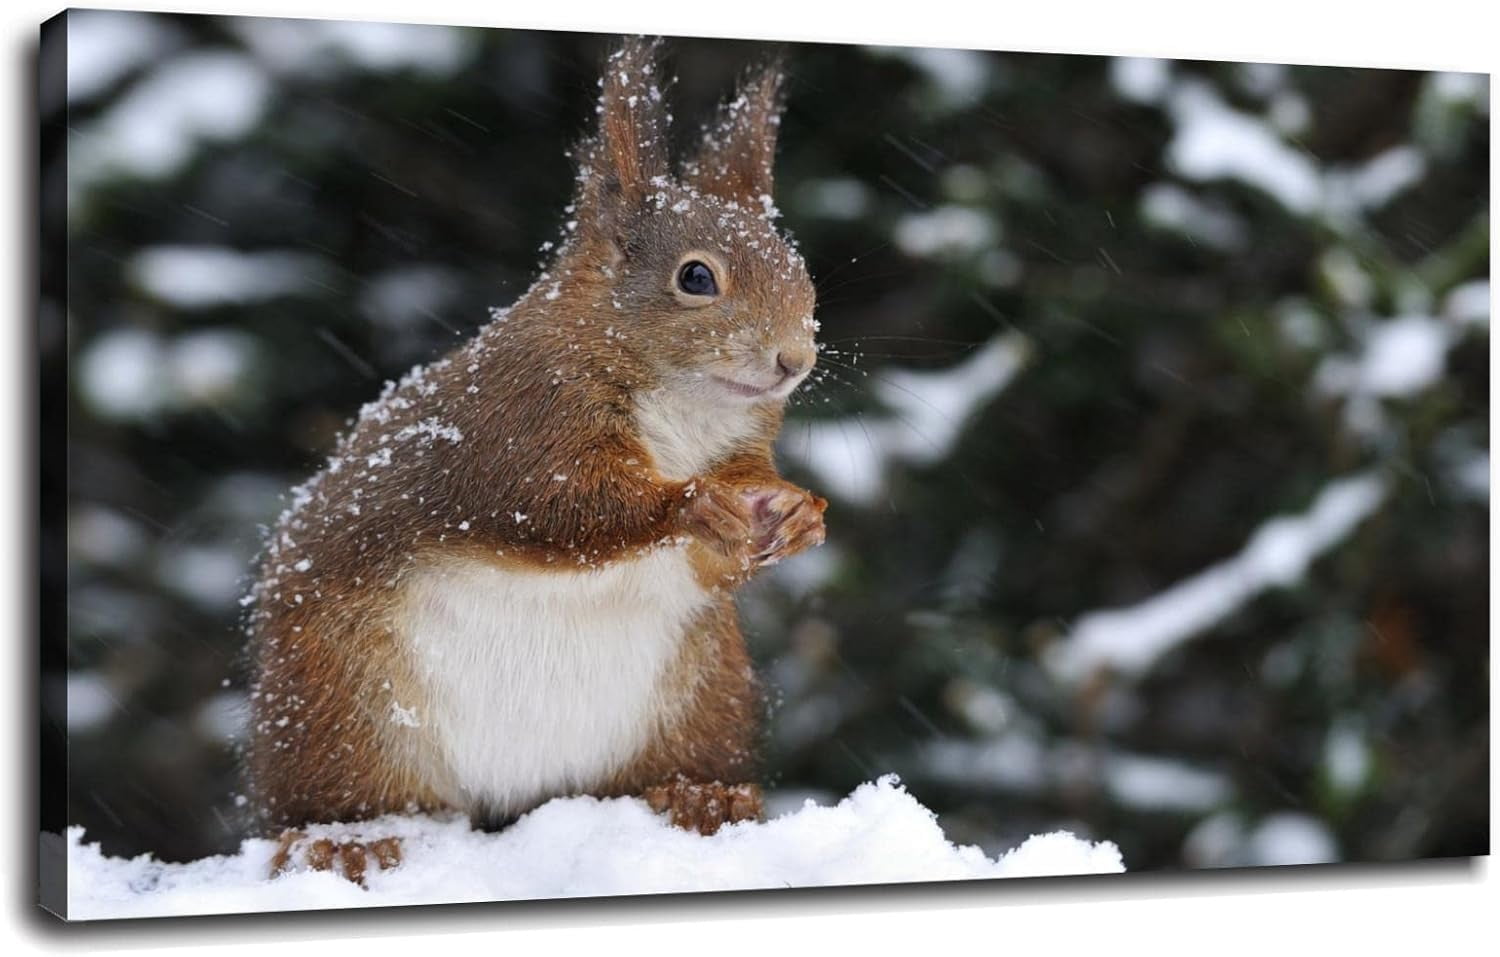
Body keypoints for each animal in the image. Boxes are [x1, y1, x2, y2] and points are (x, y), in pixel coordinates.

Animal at [244, 37, 827, 884]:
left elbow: (714, 561)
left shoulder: (736, 453)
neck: (684, 414)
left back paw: (701, 795)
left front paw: (797, 515)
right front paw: (690, 504)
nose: (794, 359)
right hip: (338, 712)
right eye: (696, 276)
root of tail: (515, 795)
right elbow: (565, 514)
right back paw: (346, 838)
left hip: (700, 698)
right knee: (337, 796)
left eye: (798, 266)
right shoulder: (520, 430)